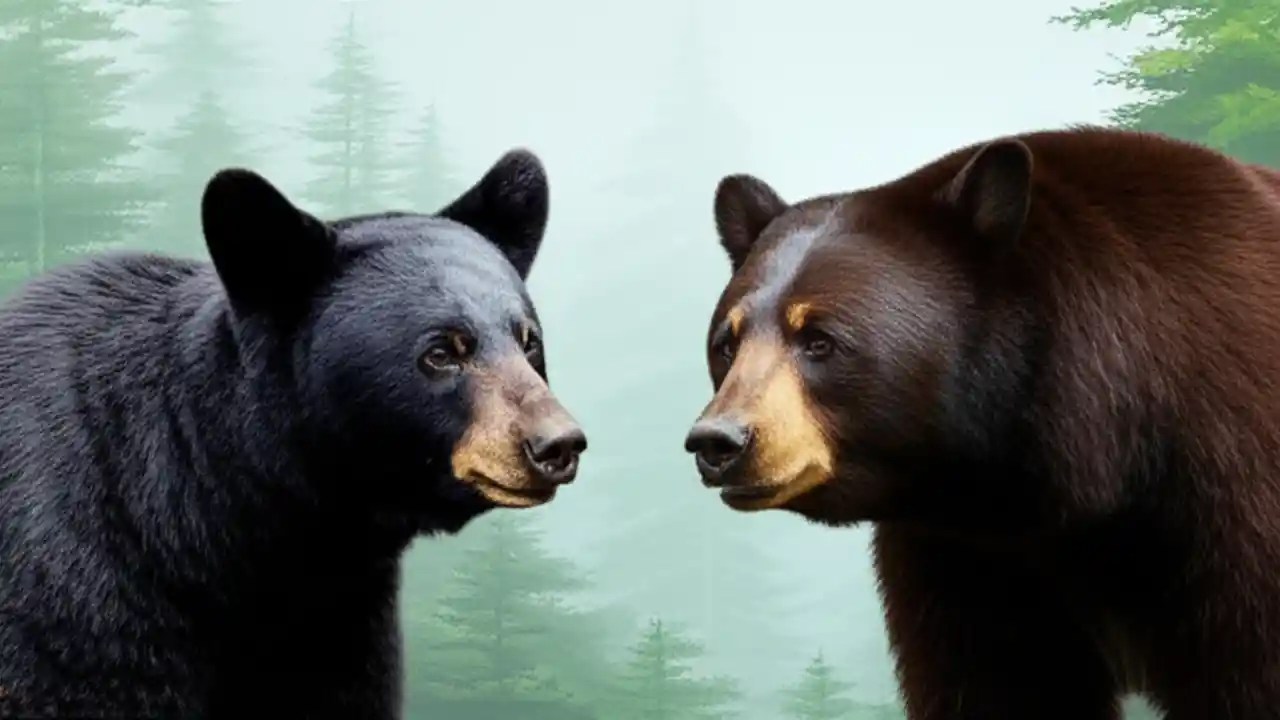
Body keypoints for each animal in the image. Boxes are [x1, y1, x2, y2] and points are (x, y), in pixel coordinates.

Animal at [683, 125, 1280, 719]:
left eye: (820, 340)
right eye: (726, 343)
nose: (718, 441)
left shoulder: (1230, 493)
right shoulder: (964, 556)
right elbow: (996, 682)